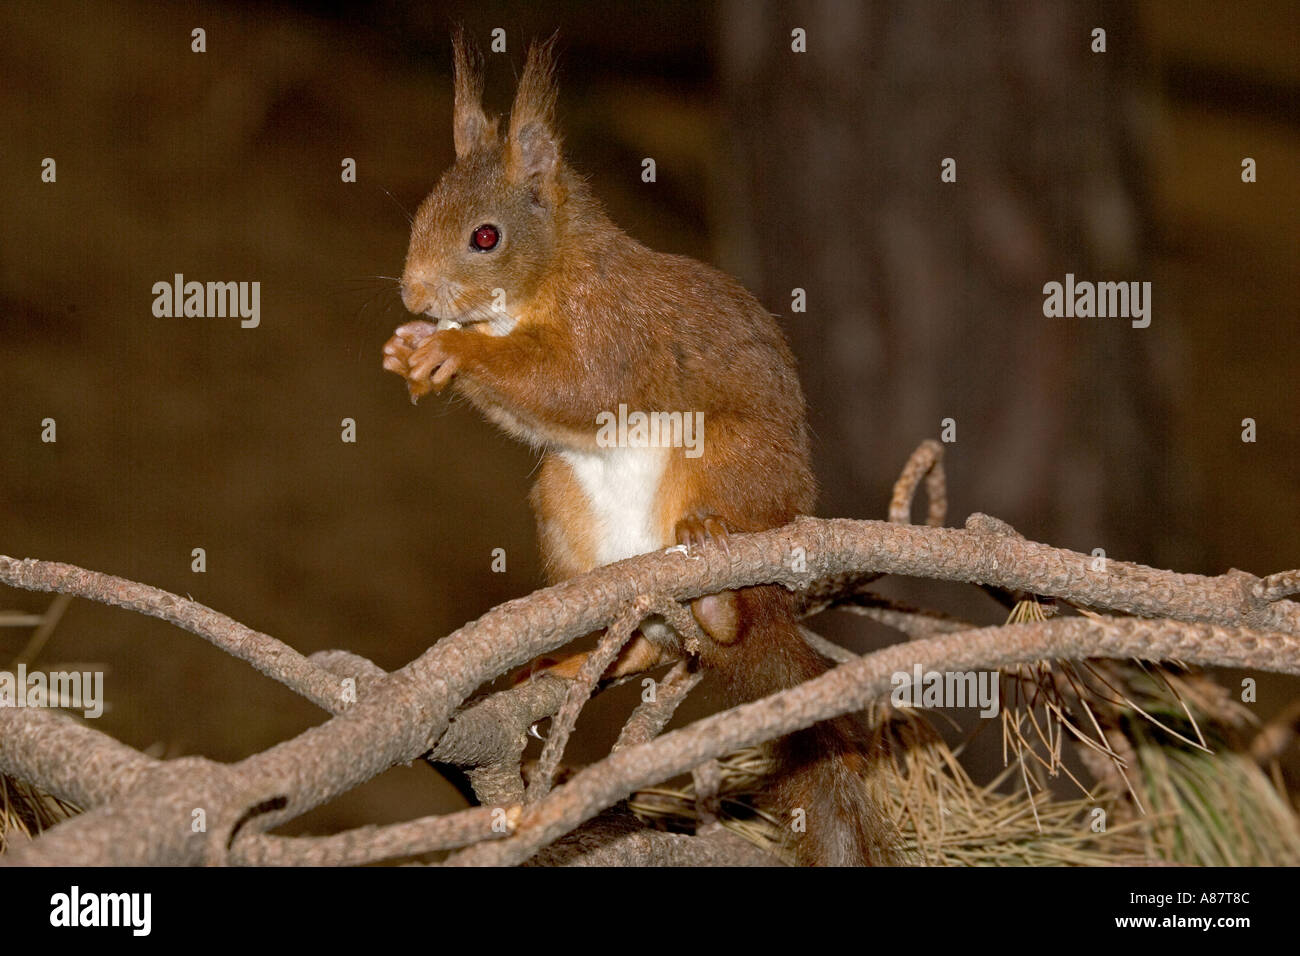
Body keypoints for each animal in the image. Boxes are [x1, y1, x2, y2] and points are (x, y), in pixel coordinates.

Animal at [382, 33, 897, 866]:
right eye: (423, 213)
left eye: (485, 237)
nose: (415, 297)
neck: (553, 276)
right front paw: (412, 349)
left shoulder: (614, 332)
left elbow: (574, 386)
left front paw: (452, 351)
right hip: (565, 506)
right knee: (652, 648)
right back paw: (584, 659)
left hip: (727, 463)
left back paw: (717, 585)